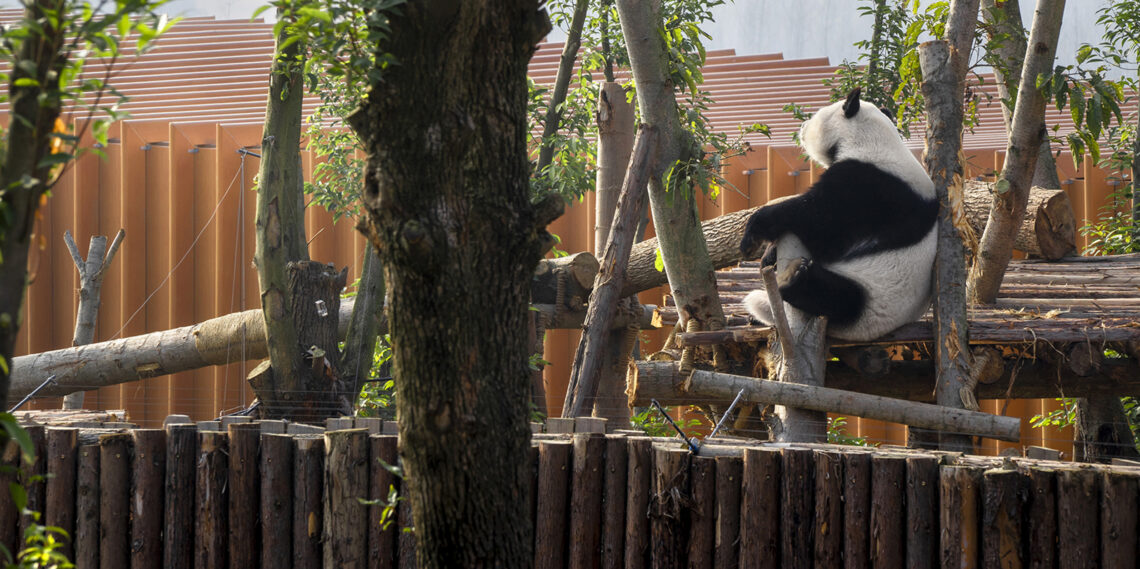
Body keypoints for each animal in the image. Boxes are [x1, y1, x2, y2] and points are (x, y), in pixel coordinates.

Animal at [739, 88, 938, 342]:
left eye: (815, 115)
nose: (802, 126)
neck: (872, 140)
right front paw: (769, 255)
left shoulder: (868, 188)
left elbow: (818, 223)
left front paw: (753, 237)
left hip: (871, 294)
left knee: (840, 298)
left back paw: (792, 279)